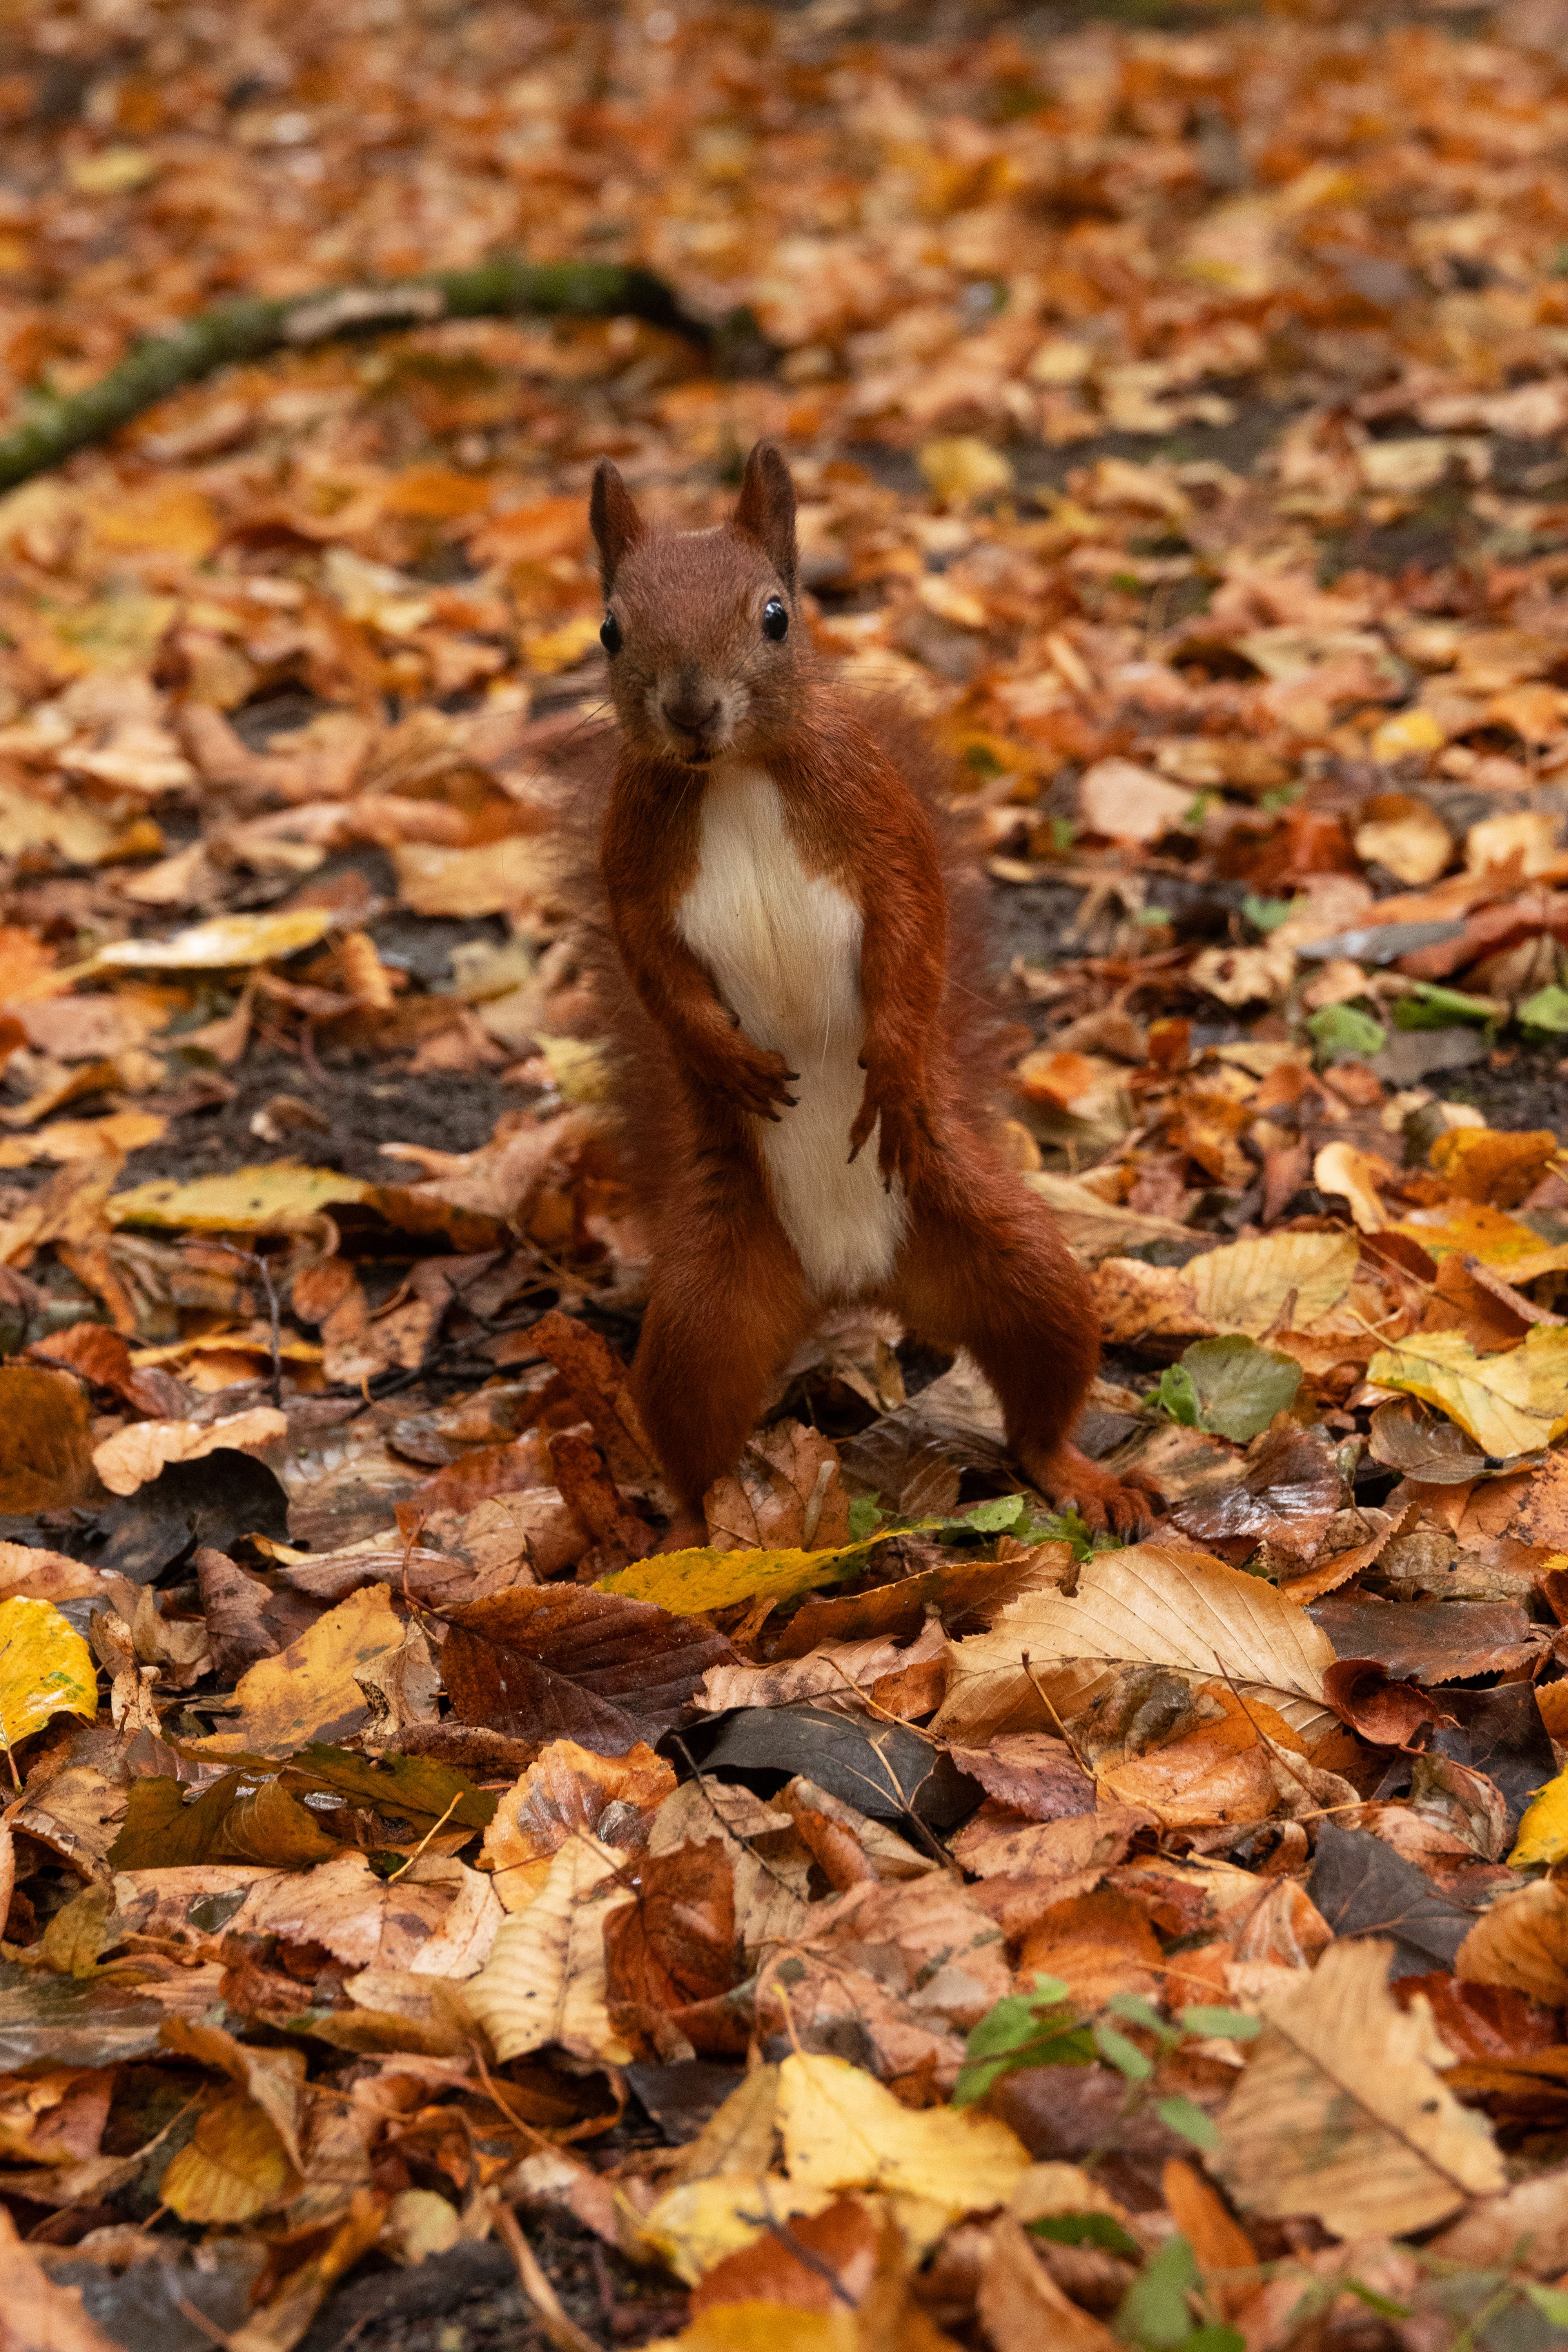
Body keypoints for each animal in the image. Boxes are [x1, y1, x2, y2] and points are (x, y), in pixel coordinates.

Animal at [587, 440, 1160, 1550]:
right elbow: (654, 971)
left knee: (1041, 1394)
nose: (690, 711)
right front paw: (721, 1056)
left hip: (1016, 1263)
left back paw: (1080, 1478)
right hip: (703, 1321)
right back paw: (681, 1539)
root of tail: (854, 1280)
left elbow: (910, 932)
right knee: (691, 1442)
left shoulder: (876, 816)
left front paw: (891, 1061)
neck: (734, 777)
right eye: (609, 629)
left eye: (775, 614)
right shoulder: (630, 867)